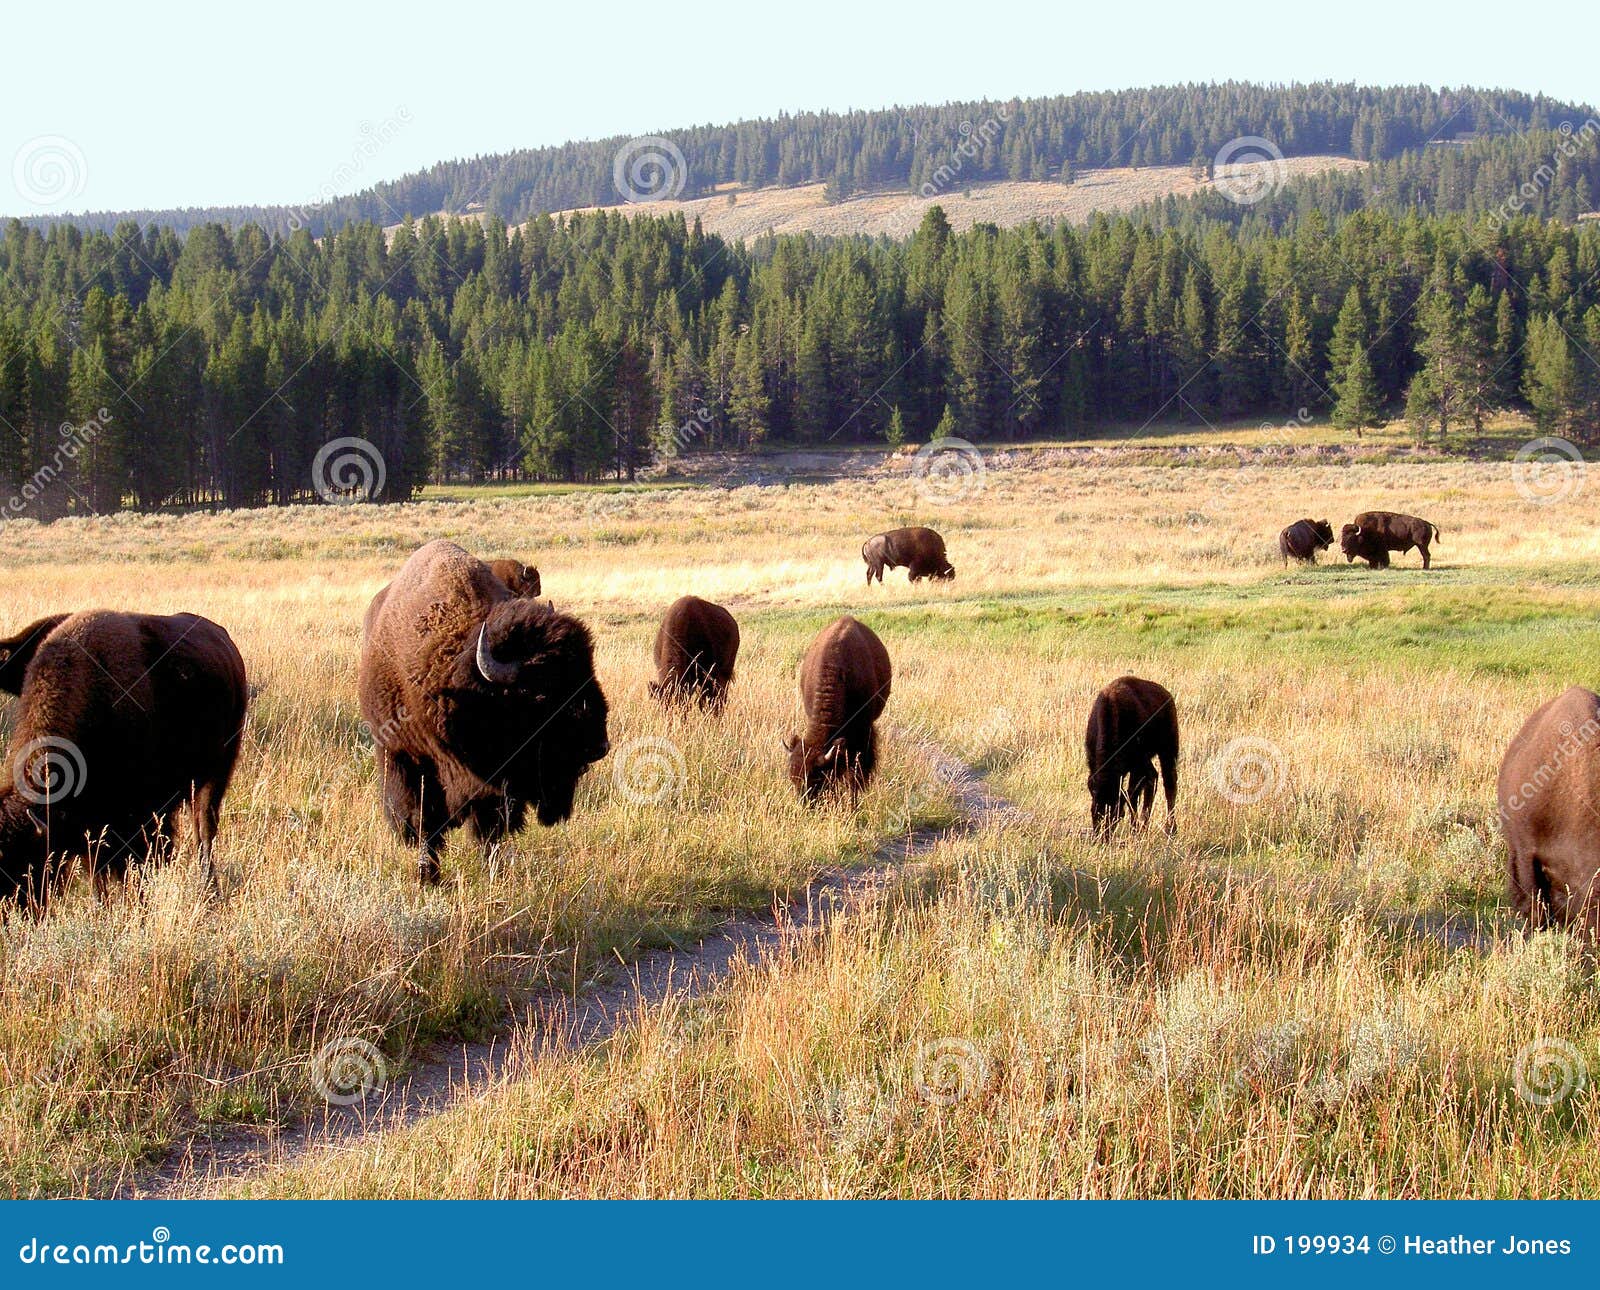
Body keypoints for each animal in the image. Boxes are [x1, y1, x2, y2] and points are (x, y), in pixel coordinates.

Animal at [0, 611, 248, 910]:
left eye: (24, 862)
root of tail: (224, 642)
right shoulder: (92, 823)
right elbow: (97, 870)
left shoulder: (137, 816)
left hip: (215, 774)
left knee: (204, 831)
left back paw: (210, 890)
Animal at [359, 540, 609, 884]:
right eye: (541, 692)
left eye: (588, 674)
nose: (599, 746)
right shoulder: (406, 759)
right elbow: (424, 821)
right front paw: (428, 877)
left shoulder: (492, 785)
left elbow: (489, 827)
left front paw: (494, 871)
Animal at [1084, 676, 1178, 839]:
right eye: (1094, 812)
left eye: (1117, 815)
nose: (1103, 839)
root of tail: (1166, 695)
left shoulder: (1138, 764)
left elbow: (1132, 796)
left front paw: (1136, 830)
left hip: (1168, 751)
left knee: (1169, 785)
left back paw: (1169, 830)